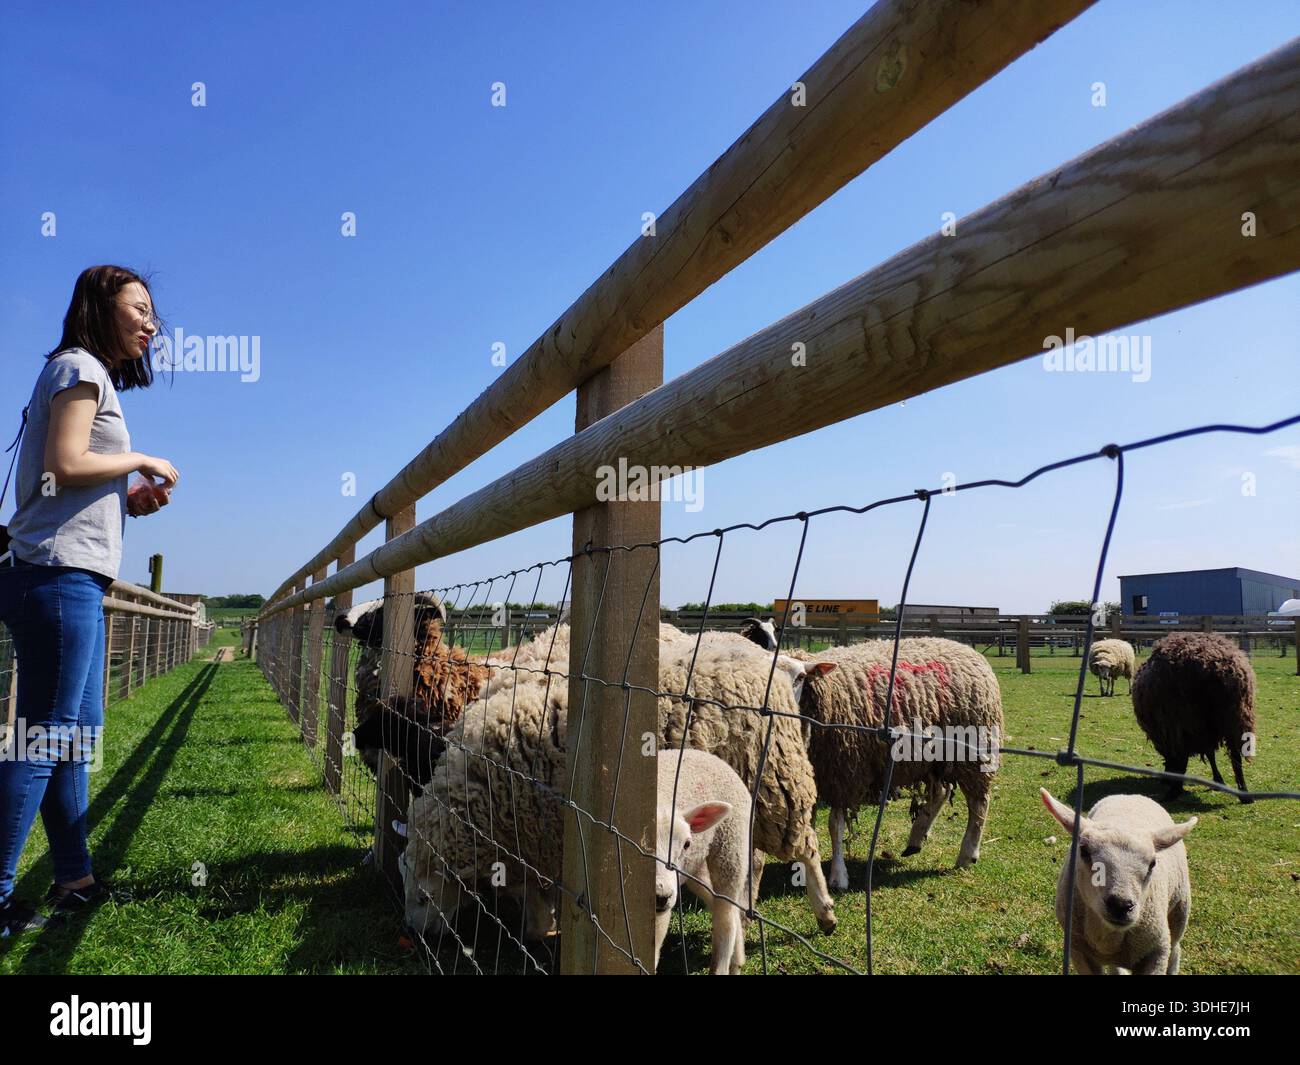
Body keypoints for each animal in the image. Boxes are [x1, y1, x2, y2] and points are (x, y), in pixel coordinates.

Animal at [654, 748, 756, 974]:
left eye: (686, 844)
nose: (662, 897)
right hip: (695, 868)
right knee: (719, 903)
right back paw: (737, 960)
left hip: (731, 849)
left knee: (725, 917)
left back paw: (723, 964)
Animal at [795, 637, 1003, 889]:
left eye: (799, 678)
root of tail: (968, 649)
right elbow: (808, 825)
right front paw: (805, 869)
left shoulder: (844, 773)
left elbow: (835, 826)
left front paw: (838, 876)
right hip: (933, 757)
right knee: (941, 792)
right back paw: (916, 838)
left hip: (972, 753)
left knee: (978, 803)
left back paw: (967, 854)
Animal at [1041, 788, 1197, 975]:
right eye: (1084, 851)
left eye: (1153, 863)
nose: (1120, 905)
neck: (1108, 939)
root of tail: (1130, 795)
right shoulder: (1078, 950)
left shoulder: (1157, 952)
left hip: (1179, 910)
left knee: (1175, 950)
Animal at [1130, 632, 1257, 803]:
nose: (1165, 780)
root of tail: (1215, 665)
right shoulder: (1207, 731)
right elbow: (1211, 754)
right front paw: (1218, 780)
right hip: (1235, 718)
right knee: (1236, 756)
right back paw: (1244, 793)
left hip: (1181, 720)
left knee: (1183, 758)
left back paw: (1172, 793)